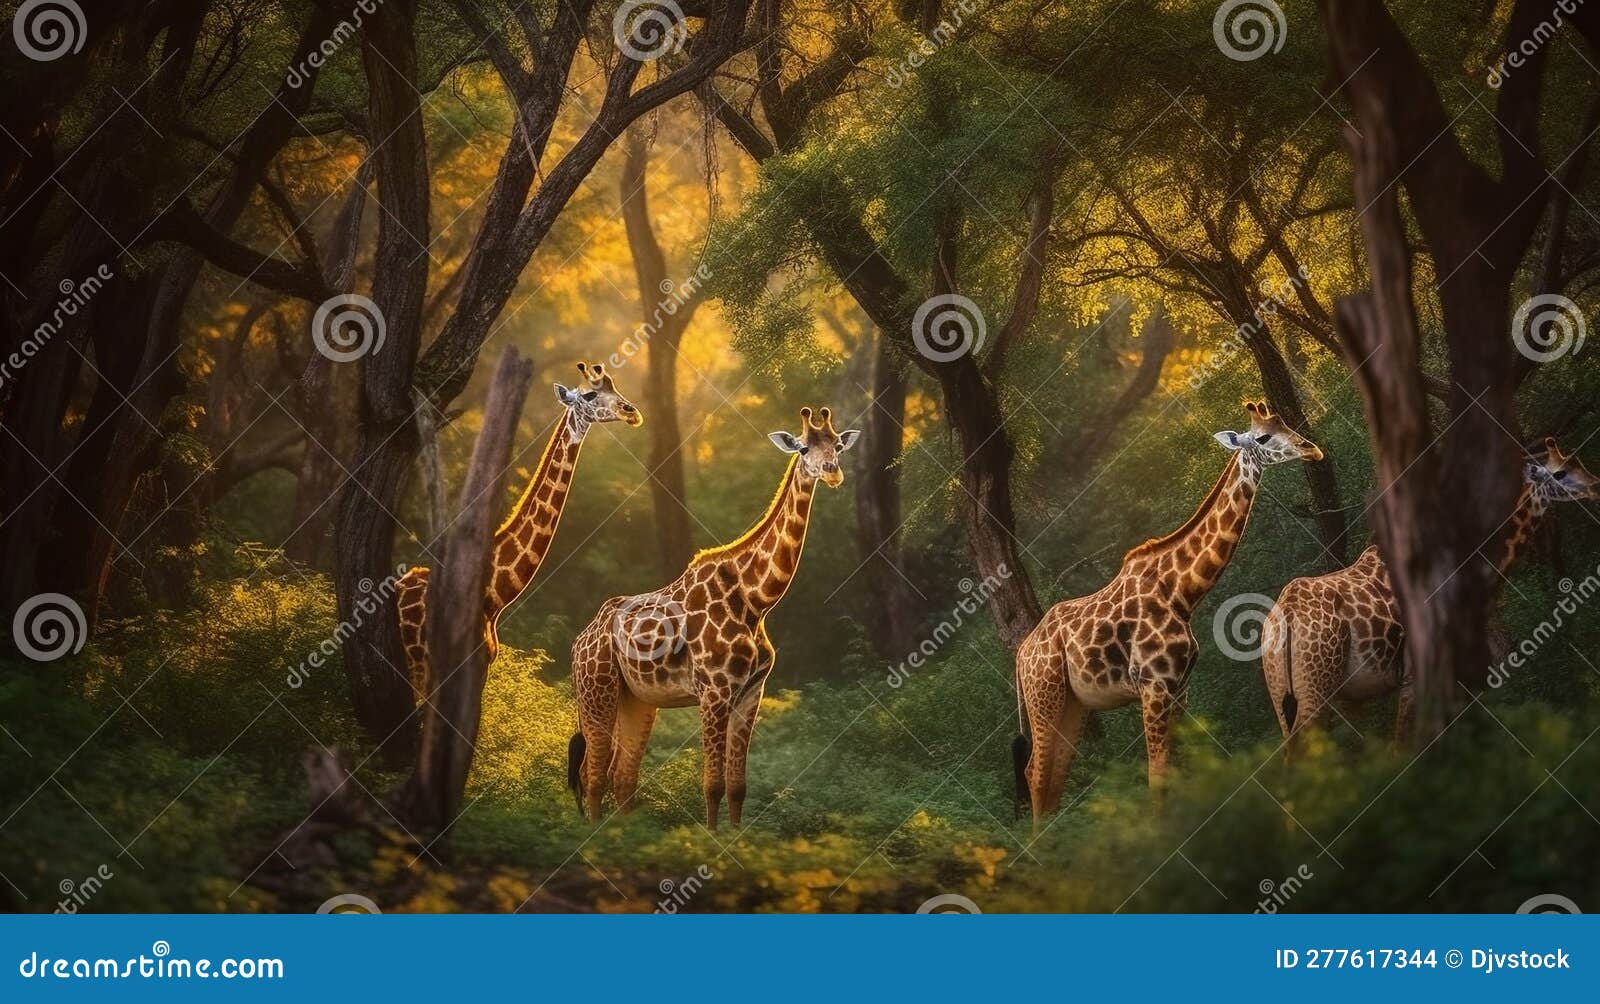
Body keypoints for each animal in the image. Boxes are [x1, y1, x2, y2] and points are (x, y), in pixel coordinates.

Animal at [567, 406, 859, 830]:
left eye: (837, 444)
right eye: (804, 447)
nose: (832, 471)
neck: (755, 601)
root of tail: (578, 642)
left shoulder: (751, 691)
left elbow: (738, 787)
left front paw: (735, 837)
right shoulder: (714, 691)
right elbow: (712, 785)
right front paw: (710, 839)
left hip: (636, 699)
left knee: (621, 776)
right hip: (596, 689)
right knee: (592, 773)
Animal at [1013, 401, 1323, 824]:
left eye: (1286, 424)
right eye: (1262, 437)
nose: (1313, 450)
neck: (1182, 592)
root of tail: (1020, 655)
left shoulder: (1180, 688)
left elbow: (1174, 771)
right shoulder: (1154, 684)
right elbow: (1156, 773)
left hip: (1073, 703)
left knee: (1056, 771)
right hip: (1043, 696)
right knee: (1036, 771)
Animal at [1260, 437, 1598, 748]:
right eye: (1561, 471)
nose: (1595, 485)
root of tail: (1285, 615)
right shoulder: (1417, 676)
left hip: (1286, 696)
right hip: (1315, 689)